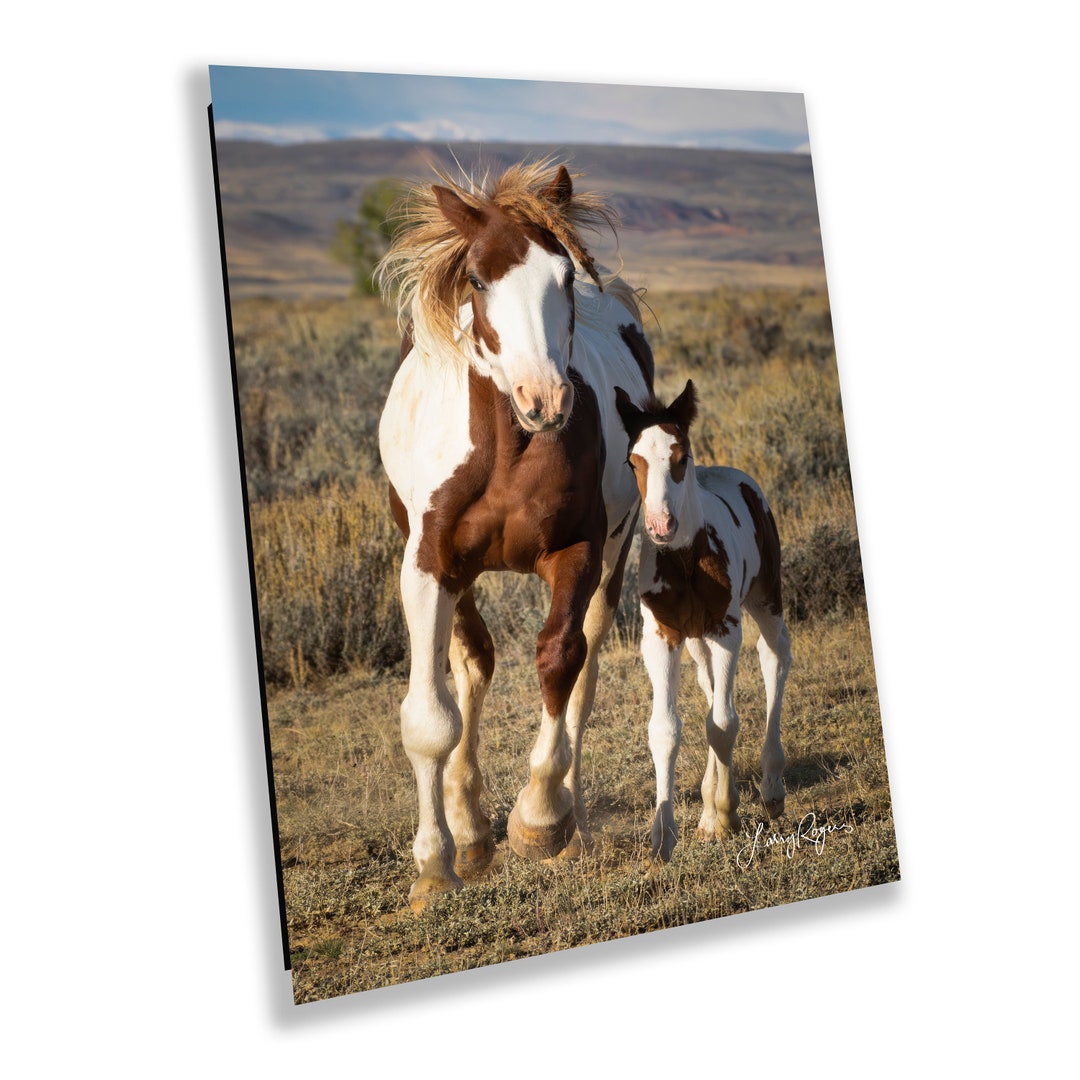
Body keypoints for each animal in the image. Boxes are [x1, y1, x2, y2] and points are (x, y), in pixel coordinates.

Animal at [377, 160, 654, 911]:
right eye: (477, 279)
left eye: (563, 277)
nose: (546, 400)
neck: (506, 445)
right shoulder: (428, 565)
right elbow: (430, 717)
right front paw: (435, 865)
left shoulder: (578, 551)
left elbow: (561, 660)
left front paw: (540, 819)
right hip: (459, 578)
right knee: (472, 665)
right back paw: (470, 828)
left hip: (614, 557)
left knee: (584, 666)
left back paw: (569, 820)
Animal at [614, 379, 791, 862]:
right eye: (633, 460)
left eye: (681, 456)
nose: (661, 526)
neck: (685, 559)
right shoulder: (661, 636)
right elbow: (667, 729)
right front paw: (665, 834)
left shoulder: (725, 629)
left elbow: (723, 724)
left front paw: (728, 814)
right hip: (697, 642)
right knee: (709, 684)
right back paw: (710, 810)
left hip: (766, 596)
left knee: (775, 657)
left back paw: (771, 788)